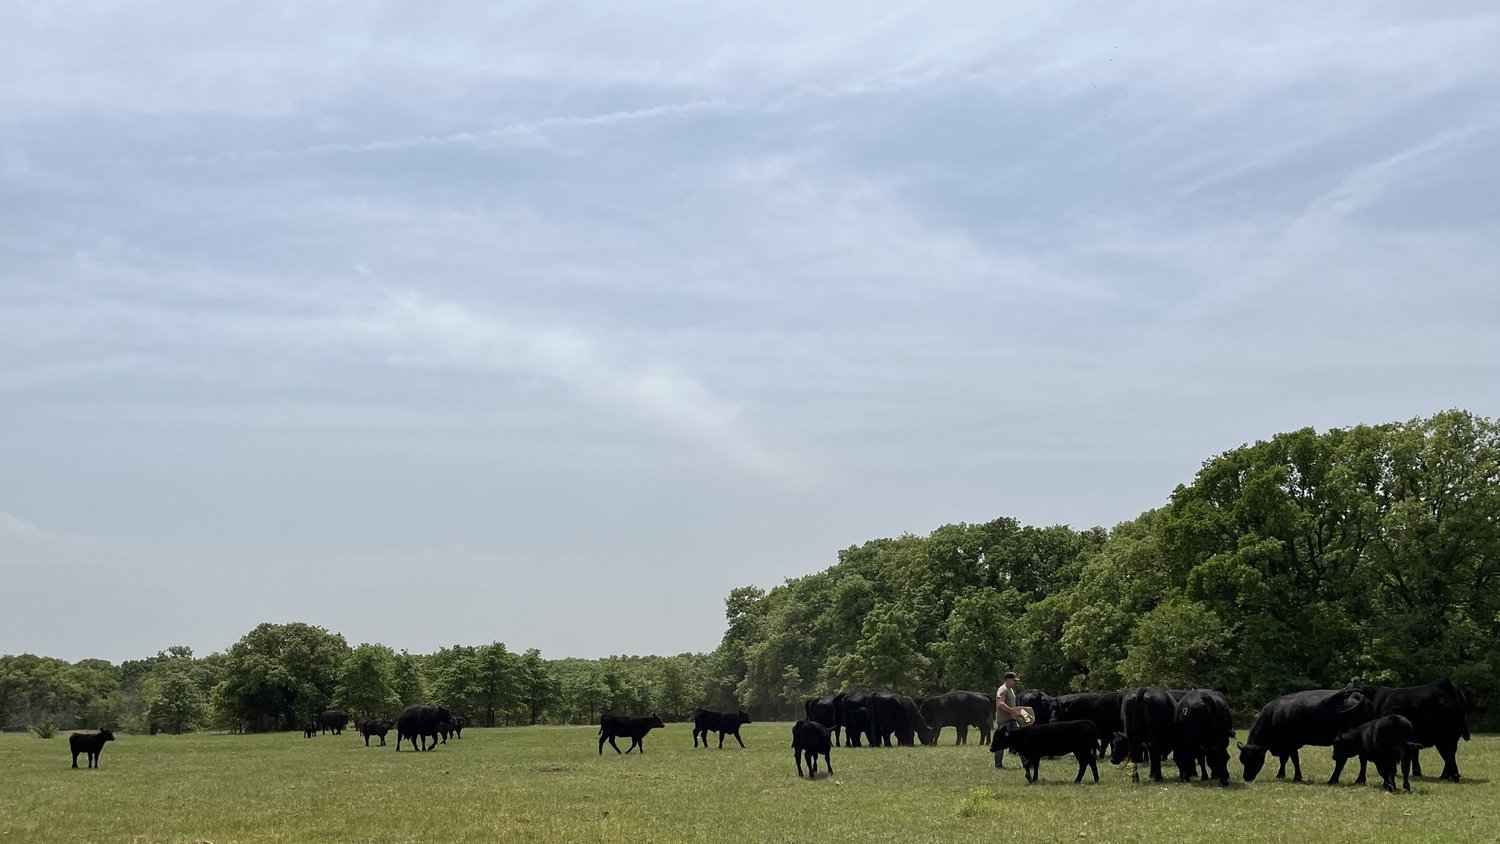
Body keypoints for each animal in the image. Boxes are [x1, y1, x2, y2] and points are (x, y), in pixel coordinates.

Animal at [1236, 688, 1373, 782]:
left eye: (1253, 759)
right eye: (1242, 760)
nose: (1246, 777)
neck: (1273, 716)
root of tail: (1355, 695)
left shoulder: (1290, 744)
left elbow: (1294, 759)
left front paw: (1297, 777)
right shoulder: (1284, 746)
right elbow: (1283, 760)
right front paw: (1280, 775)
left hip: (1342, 743)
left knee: (1341, 760)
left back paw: (1333, 780)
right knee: (1363, 758)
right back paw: (1360, 780)